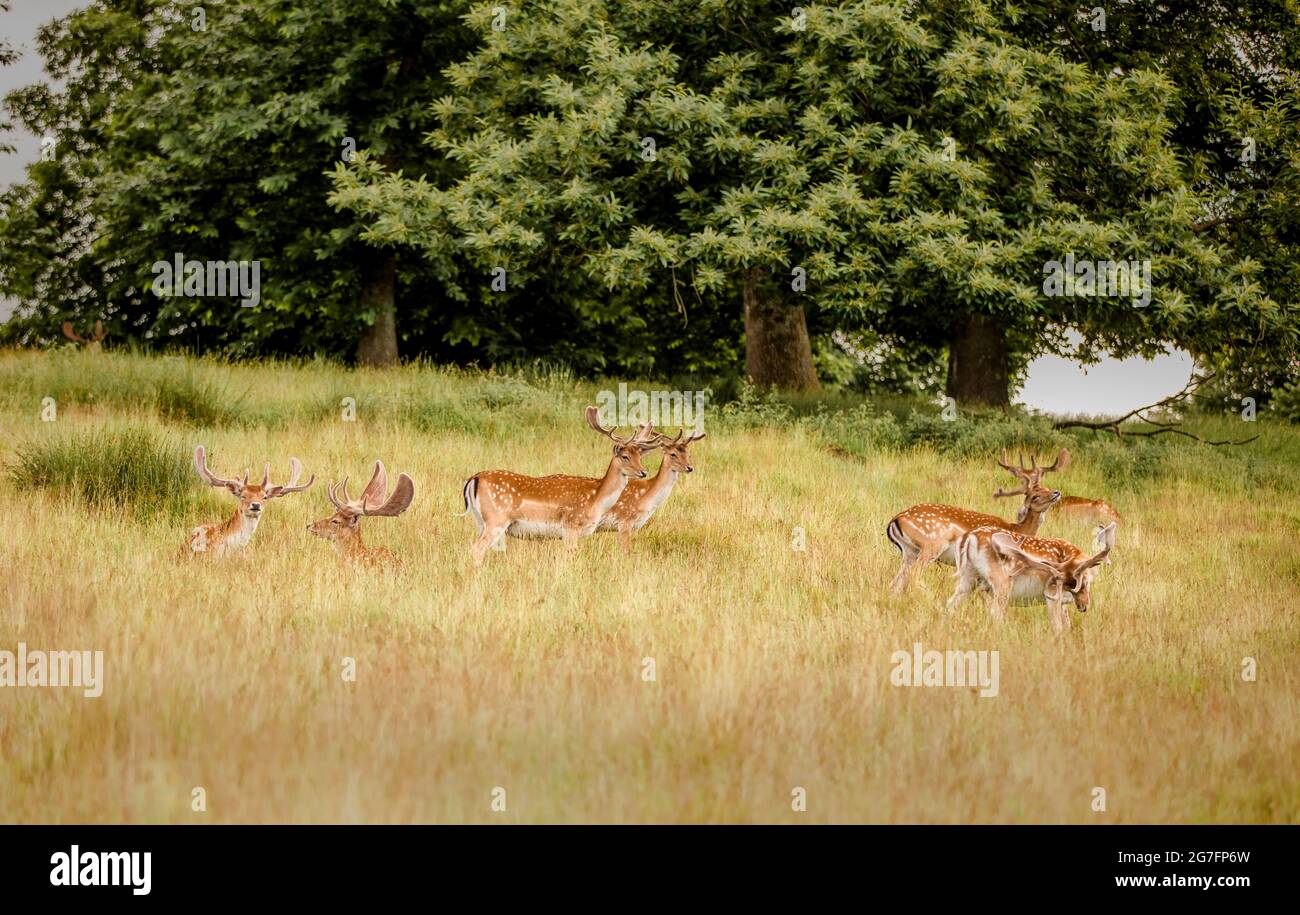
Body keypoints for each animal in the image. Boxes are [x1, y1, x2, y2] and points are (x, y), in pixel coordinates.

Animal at [461, 406, 661, 566]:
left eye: (639, 456)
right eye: (625, 456)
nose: (643, 472)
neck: (596, 499)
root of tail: (473, 479)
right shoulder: (571, 525)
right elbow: (570, 557)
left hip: (481, 521)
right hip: (496, 519)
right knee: (477, 548)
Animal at [886, 448, 1070, 593]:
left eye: (1045, 487)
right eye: (1034, 496)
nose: (1056, 492)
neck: (1016, 530)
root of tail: (896, 520)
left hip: (909, 552)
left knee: (896, 582)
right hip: (931, 545)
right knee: (913, 577)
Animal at [947, 522, 1117, 631]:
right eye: (1085, 581)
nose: (1084, 606)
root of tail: (970, 537)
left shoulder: (1062, 602)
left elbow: (1067, 626)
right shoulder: (1052, 594)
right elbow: (1058, 627)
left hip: (968, 577)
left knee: (950, 604)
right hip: (1001, 582)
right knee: (996, 613)